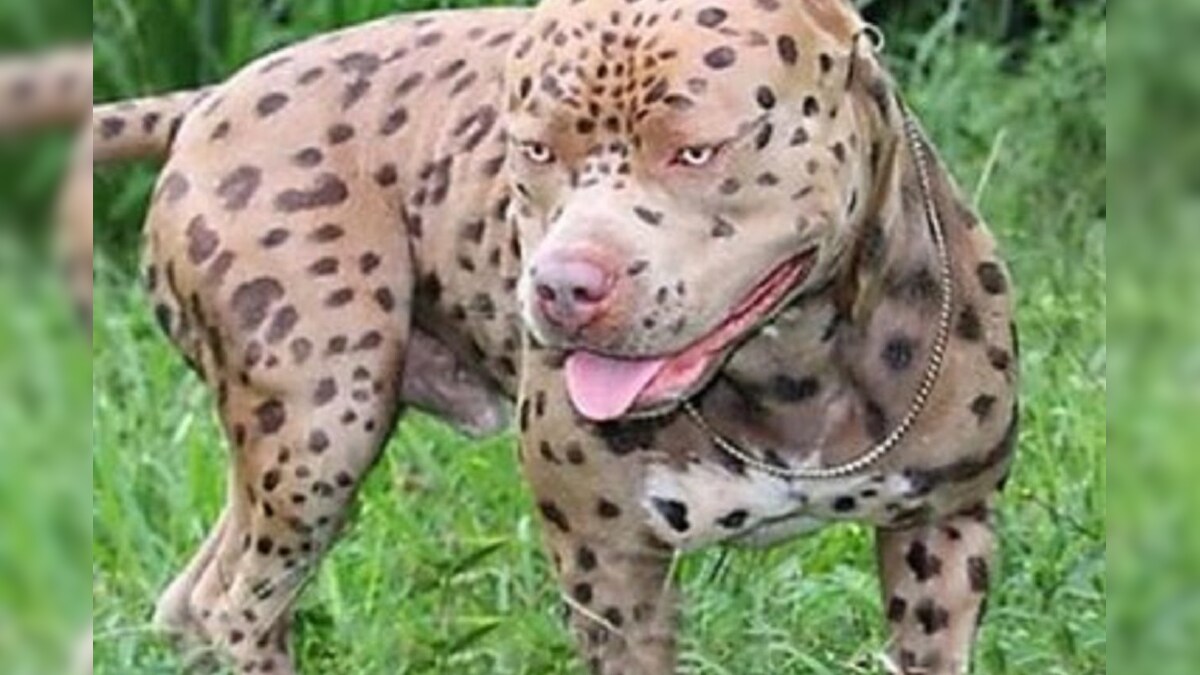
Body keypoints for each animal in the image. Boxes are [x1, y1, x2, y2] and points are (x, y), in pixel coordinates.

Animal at [83, 1, 1020, 673]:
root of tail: (214, 99)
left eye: (695, 152)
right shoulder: (611, 572)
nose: (564, 285)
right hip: (320, 425)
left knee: (198, 595)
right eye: (532, 150)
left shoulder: (944, 533)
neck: (788, 367)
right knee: (241, 604)